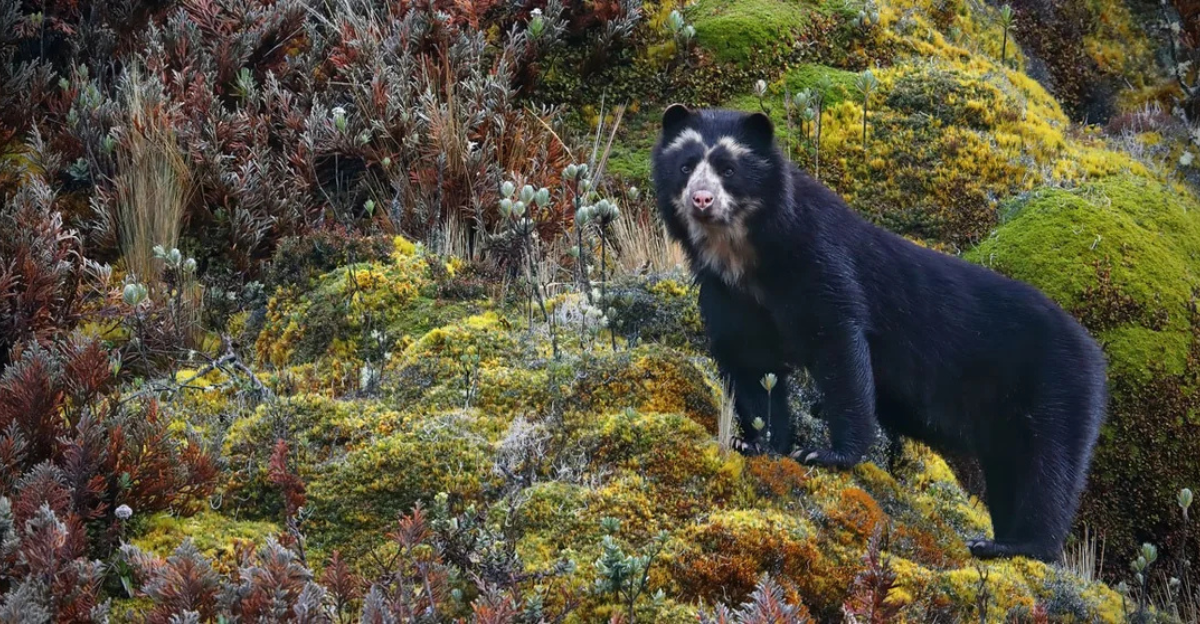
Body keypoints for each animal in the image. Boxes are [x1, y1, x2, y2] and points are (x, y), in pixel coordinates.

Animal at [650, 104, 1107, 562]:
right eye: (686, 165)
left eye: (728, 168)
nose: (701, 200)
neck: (742, 252)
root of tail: (1096, 353)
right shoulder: (726, 292)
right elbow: (749, 361)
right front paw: (757, 444)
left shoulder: (817, 260)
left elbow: (839, 345)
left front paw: (826, 453)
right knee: (1012, 473)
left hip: (1053, 388)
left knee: (1045, 466)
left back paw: (1015, 545)